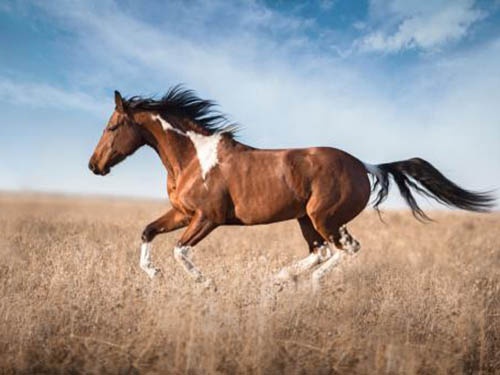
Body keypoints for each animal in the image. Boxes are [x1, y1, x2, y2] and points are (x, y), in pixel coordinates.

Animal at [88, 86, 494, 290]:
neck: (193, 158)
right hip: (306, 219)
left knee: (344, 250)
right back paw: (281, 278)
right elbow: (148, 231)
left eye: (112, 126)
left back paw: (304, 283)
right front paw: (153, 274)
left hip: (323, 217)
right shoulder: (182, 212)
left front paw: (206, 284)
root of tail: (364, 165)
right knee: (322, 251)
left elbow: (179, 251)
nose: (94, 166)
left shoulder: (207, 217)